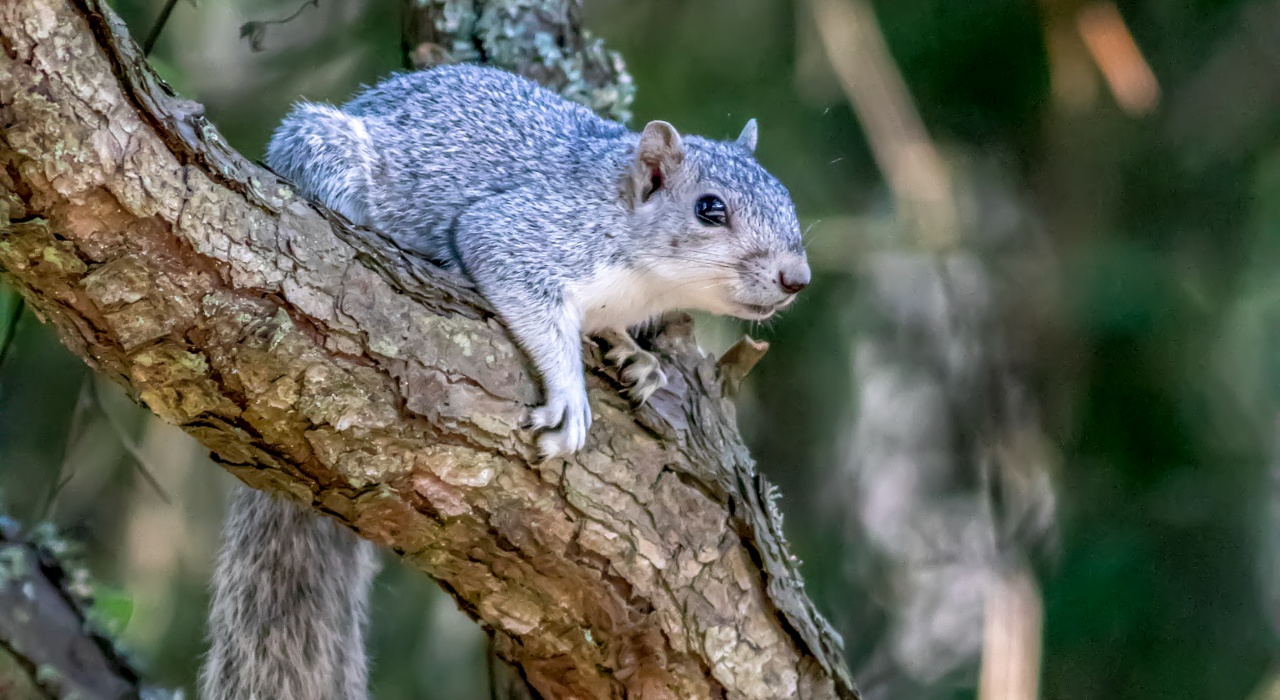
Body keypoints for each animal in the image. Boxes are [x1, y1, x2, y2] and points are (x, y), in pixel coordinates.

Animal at [199, 64, 809, 700]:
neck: (644, 275)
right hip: (324, 151)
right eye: (709, 209)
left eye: (787, 198)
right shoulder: (526, 231)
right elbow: (513, 275)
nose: (797, 278)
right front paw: (570, 394)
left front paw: (637, 357)